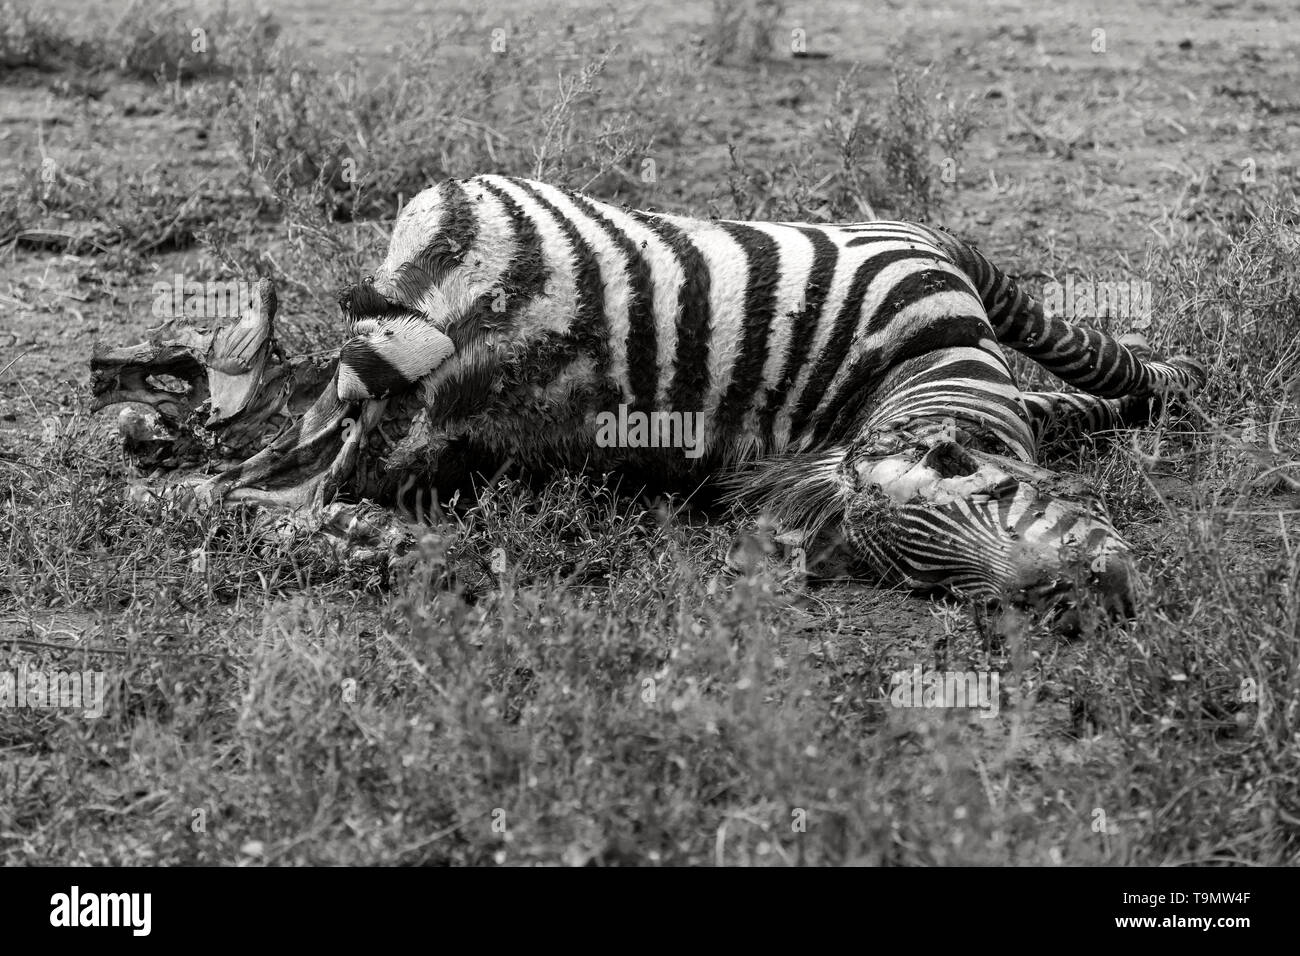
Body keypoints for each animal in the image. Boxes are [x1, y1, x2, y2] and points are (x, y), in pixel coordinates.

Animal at [93, 174, 1205, 617]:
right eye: (945, 581)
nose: (1094, 598)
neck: (900, 379)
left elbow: (1074, 385)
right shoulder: (936, 255)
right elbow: (1077, 349)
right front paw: (1178, 378)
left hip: (403, 428)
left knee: (253, 480)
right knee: (262, 459)